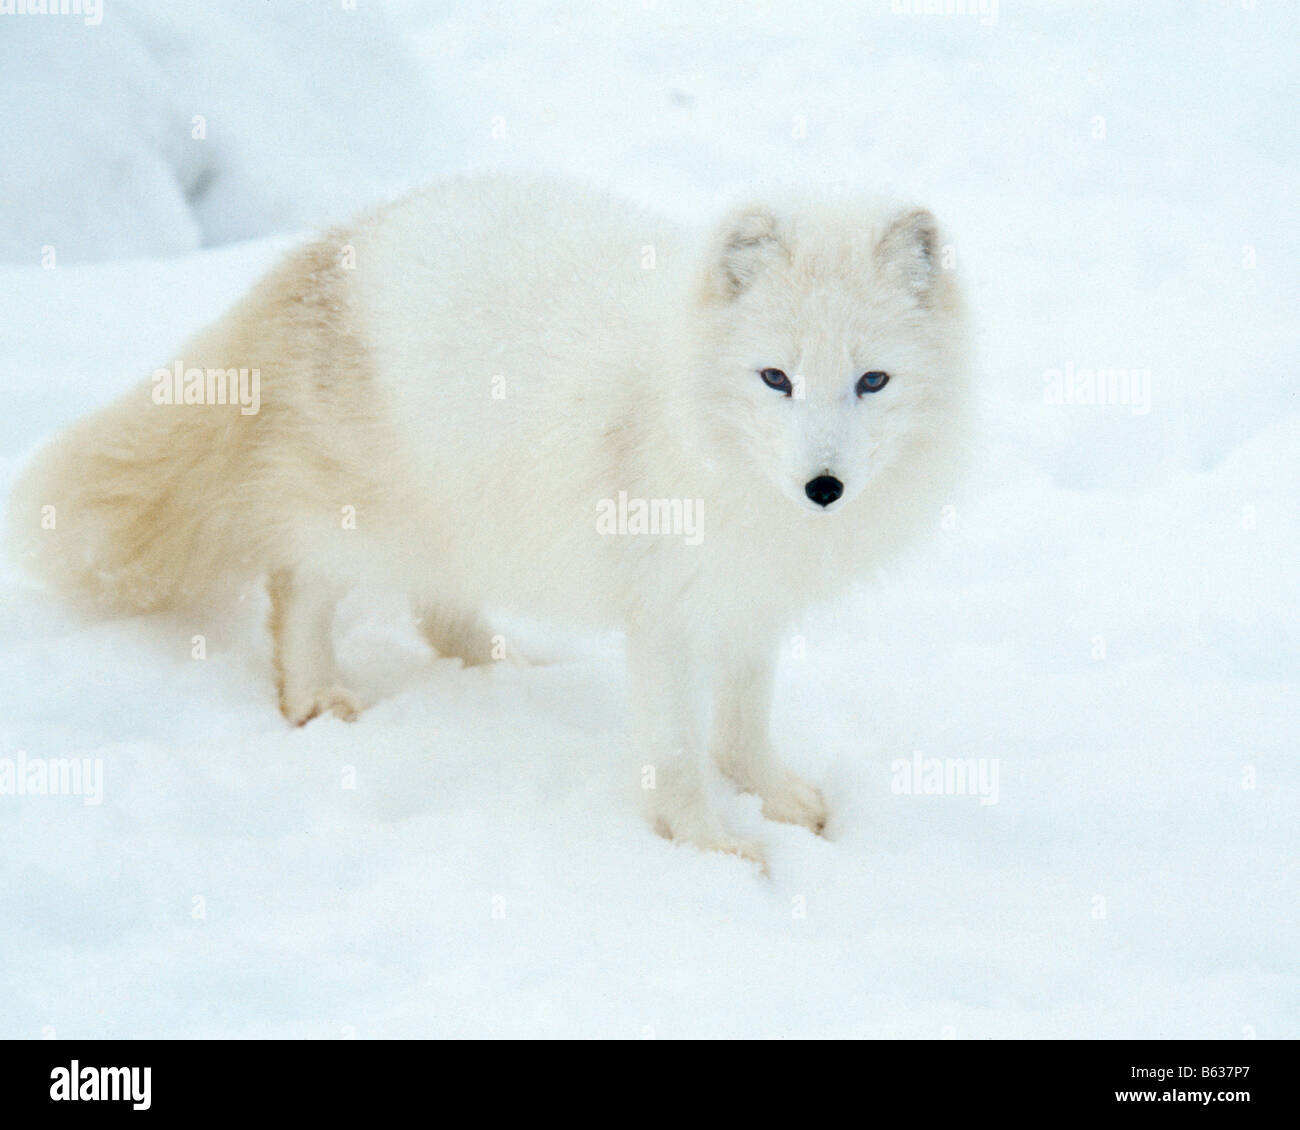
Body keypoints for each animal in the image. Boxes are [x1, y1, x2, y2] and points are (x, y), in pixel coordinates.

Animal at [8, 174, 970, 865]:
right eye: (775, 378)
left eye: (872, 381)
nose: (824, 486)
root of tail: (328, 250)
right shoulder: (664, 609)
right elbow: (676, 748)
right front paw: (708, 844)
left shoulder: (746, 601)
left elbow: (743, 722)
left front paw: (770, 795)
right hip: (376, 516)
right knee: (298, 583)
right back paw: (314, 694)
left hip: (464, 516)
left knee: (439, 615)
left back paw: (500, 671)